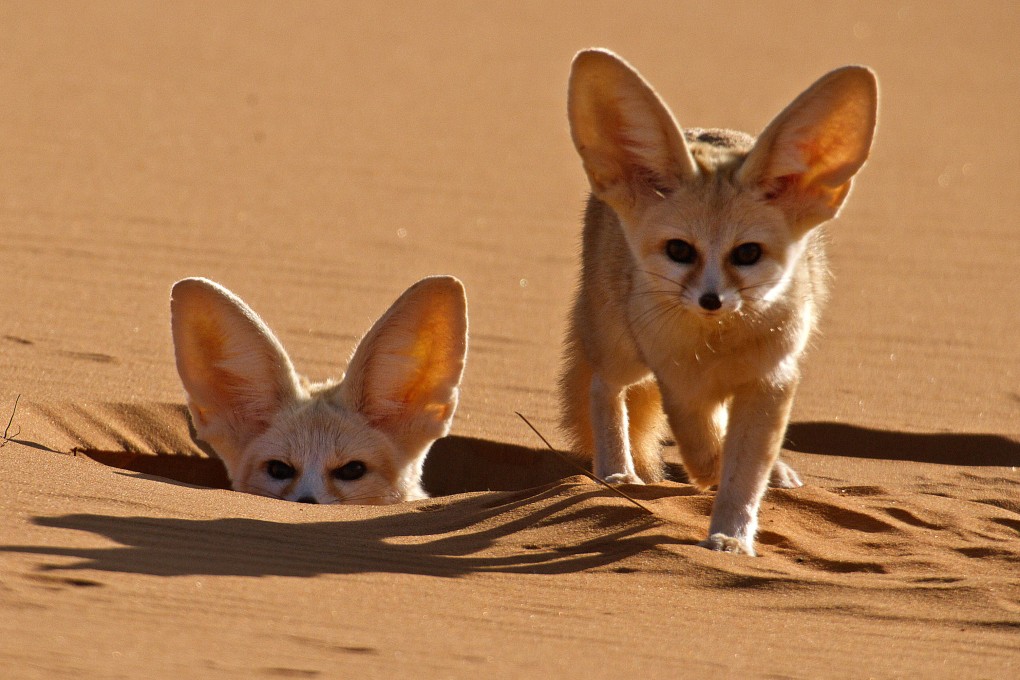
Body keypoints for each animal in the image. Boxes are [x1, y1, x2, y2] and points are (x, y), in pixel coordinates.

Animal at [559, 49, 877, 555]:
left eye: (747, 254)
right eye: (679, 251)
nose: (712, 300)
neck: (718, 345)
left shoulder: (771, 381)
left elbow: (743, 467)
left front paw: (732, 535)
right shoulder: (679, 383)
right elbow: (706, 447)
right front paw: (711, 481)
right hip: (623, 351)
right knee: (603, 387)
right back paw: (617, 474)